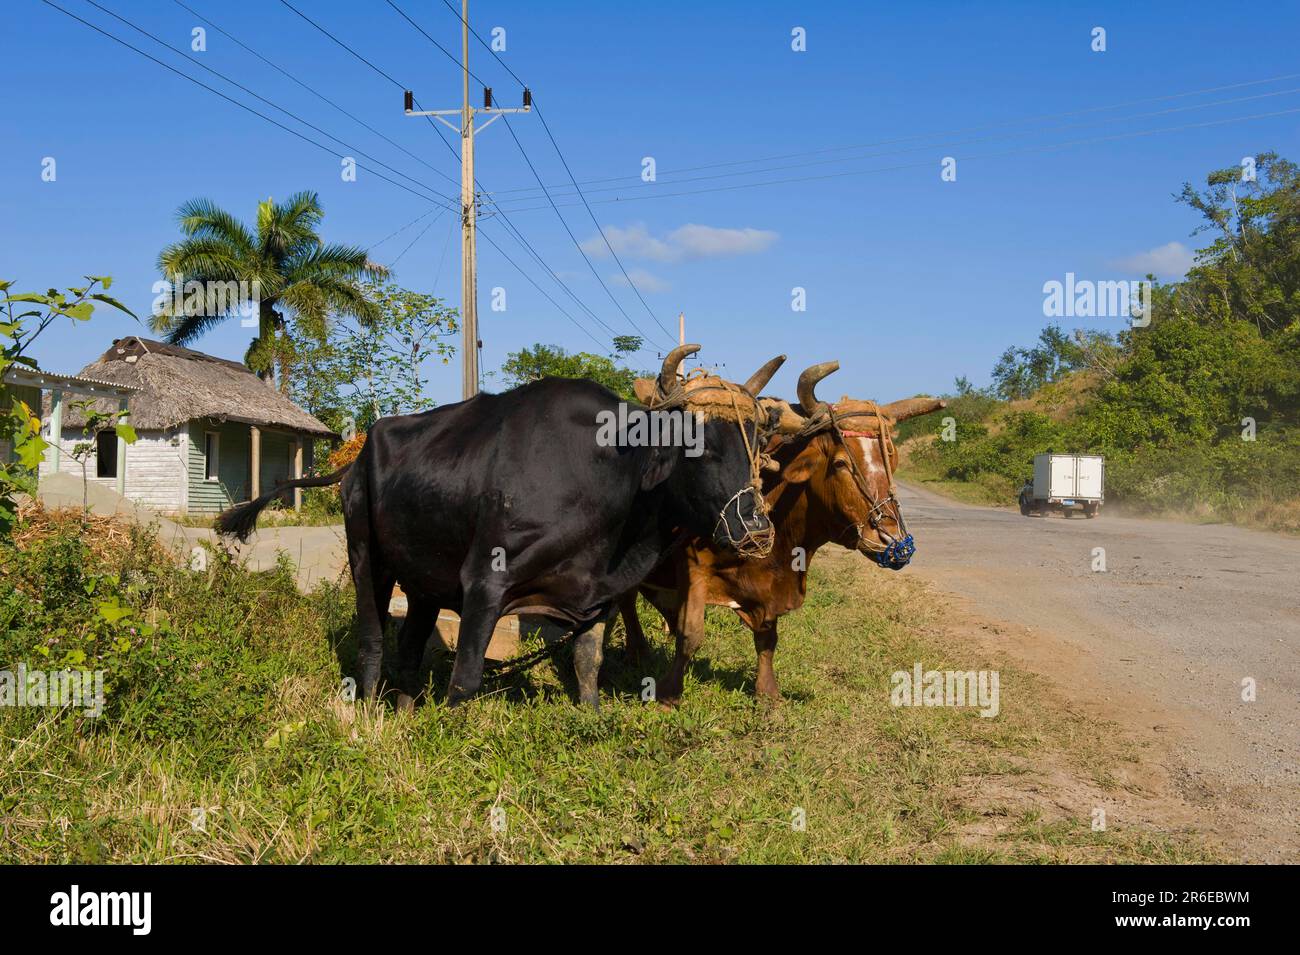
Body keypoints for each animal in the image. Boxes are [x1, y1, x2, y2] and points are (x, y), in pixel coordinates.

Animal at [215, 344, 786, 707]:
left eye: (756, 440)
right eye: (697, 444)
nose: (755, 530)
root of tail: (355, 457)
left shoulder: (596, 598)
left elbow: (588, 668)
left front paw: (593, 718)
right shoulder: (485, 583)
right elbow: (465, 679)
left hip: (423, 580)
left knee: (410, 646)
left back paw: (403, 707)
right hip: (367, 560)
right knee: (374, 641)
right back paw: (369, 708)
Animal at [610, 360, 945, 705]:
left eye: (890, 456)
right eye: (840, 463)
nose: (891, 540)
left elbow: (767, 638)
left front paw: (767, 692)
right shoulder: (694, 567)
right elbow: (690, 634)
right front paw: (668, 694)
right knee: (626, 598)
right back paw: (637, 651)